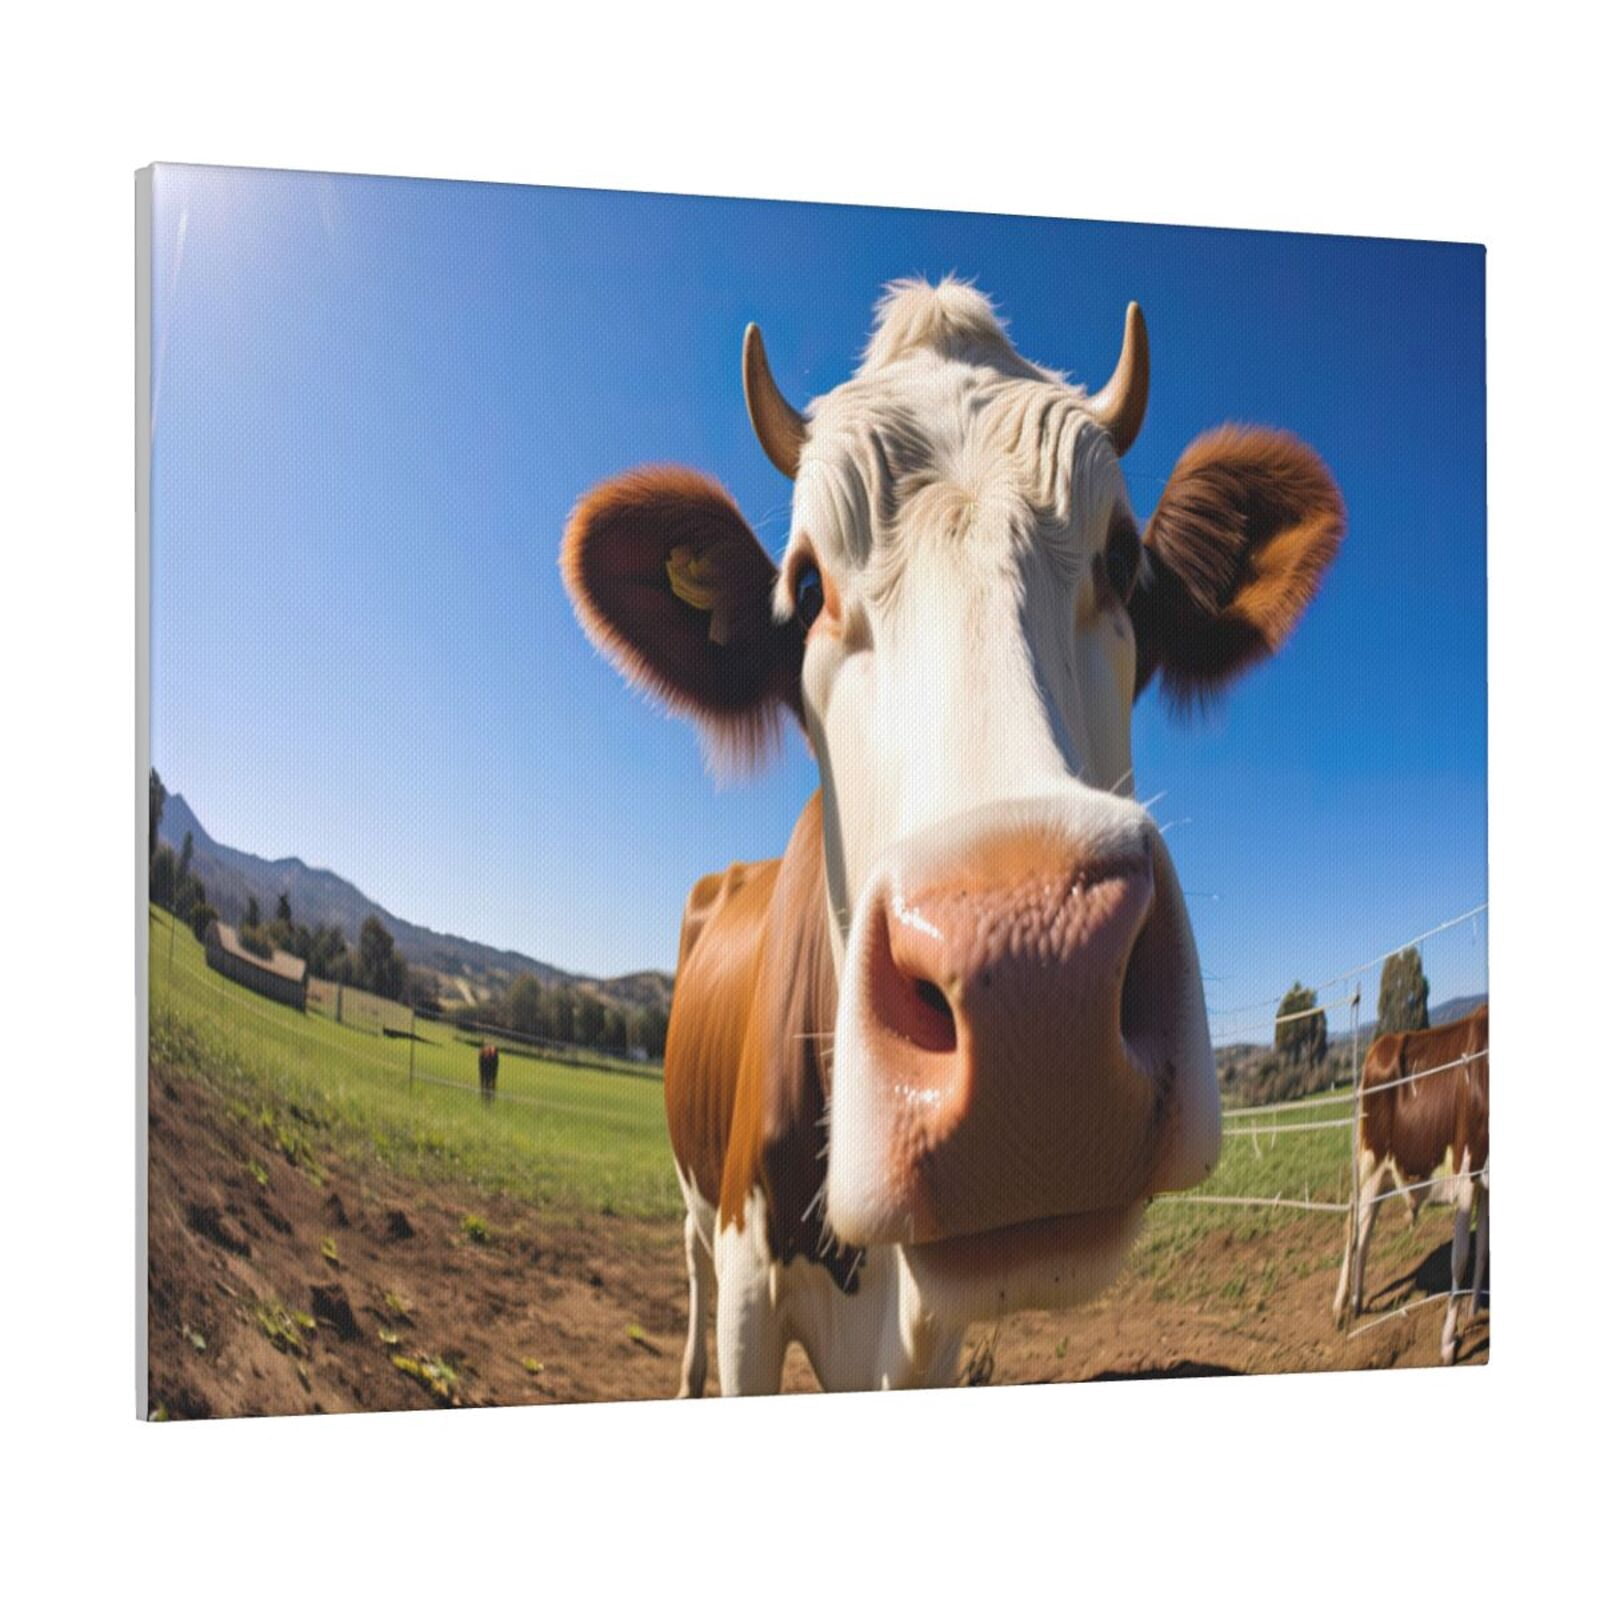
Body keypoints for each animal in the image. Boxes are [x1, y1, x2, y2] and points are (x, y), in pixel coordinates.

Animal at [561, 279, 1345, 1394]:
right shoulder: (752, 1285)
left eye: (1123, 559)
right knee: (691, 1276)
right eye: (806, 586)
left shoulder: (934, 1342)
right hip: (692, 1201)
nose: (1032, 985)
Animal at [1332, 1005, 1488, 1362]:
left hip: (1386, 1171)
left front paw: (1473, 1313)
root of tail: (1380, 1045)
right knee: (1354, 1224)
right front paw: (1448, 1342)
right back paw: (1340, 1307)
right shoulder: (1467, 1169)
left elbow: (1484, 1249)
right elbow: (1460, 1257)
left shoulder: (1488, 1181)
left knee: (1367, 1226)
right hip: (1369, 1162)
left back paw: (1357, 1300)